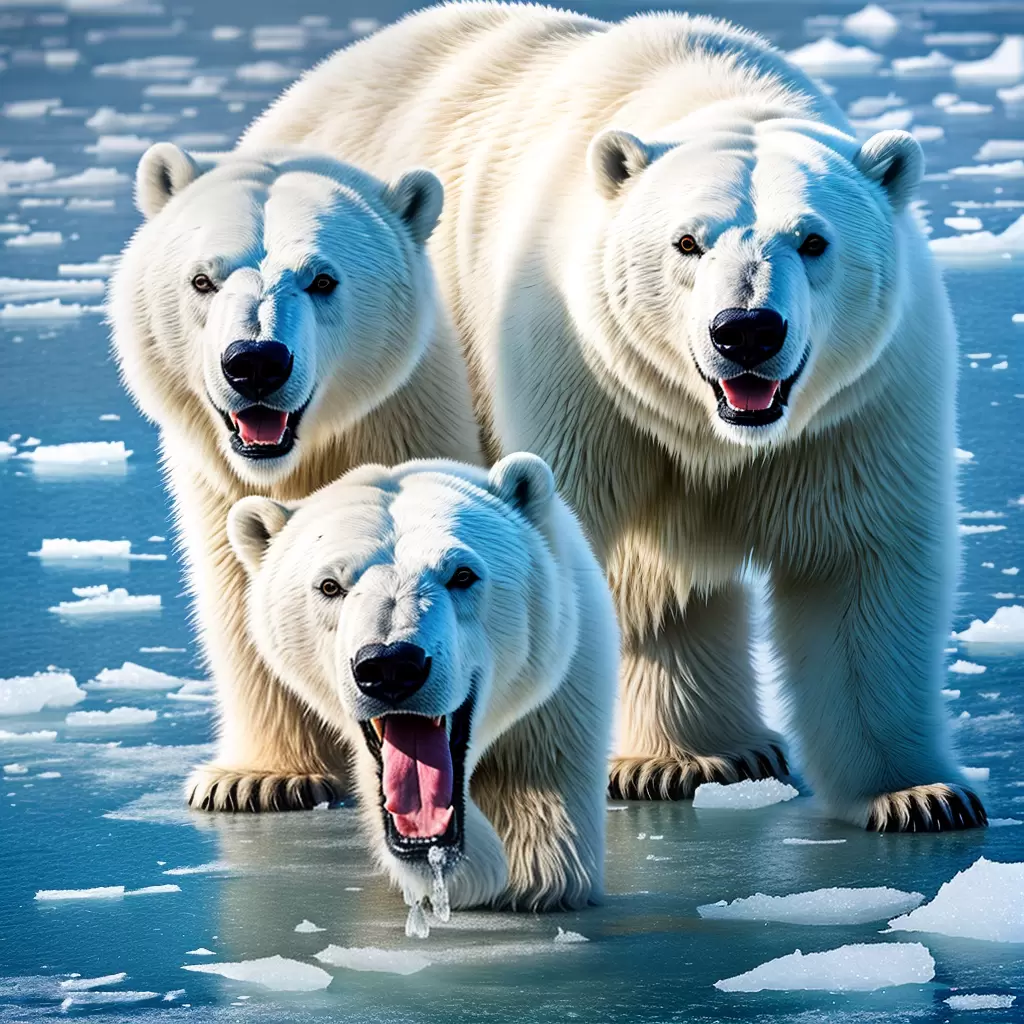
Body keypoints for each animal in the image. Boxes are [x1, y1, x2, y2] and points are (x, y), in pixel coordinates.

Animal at [109, 145, 485, 812]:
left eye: (322, 279)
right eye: (202, 280)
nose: (255, 362)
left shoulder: (406, 429)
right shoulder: (221, 483)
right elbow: (244, 596)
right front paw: (257, 780)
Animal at [240, 2, 986, 832]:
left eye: (815, 239)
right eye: (687, 241)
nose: (747, 330)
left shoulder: (858, 406)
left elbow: (858, 567)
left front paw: (917, 795)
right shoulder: (581, 373)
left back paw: (717, 753)